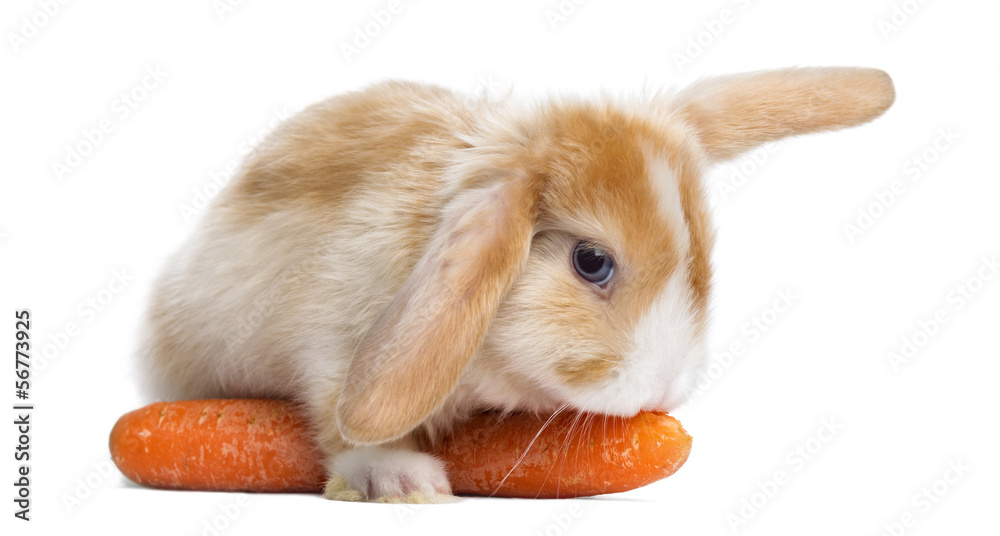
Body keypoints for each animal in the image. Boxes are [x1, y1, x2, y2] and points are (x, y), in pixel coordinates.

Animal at [140, 67, 894, 502]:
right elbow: (337, 415)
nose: (665, 391)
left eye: (704, 258)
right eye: (591, 261)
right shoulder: (329, 341)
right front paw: (403, 479)